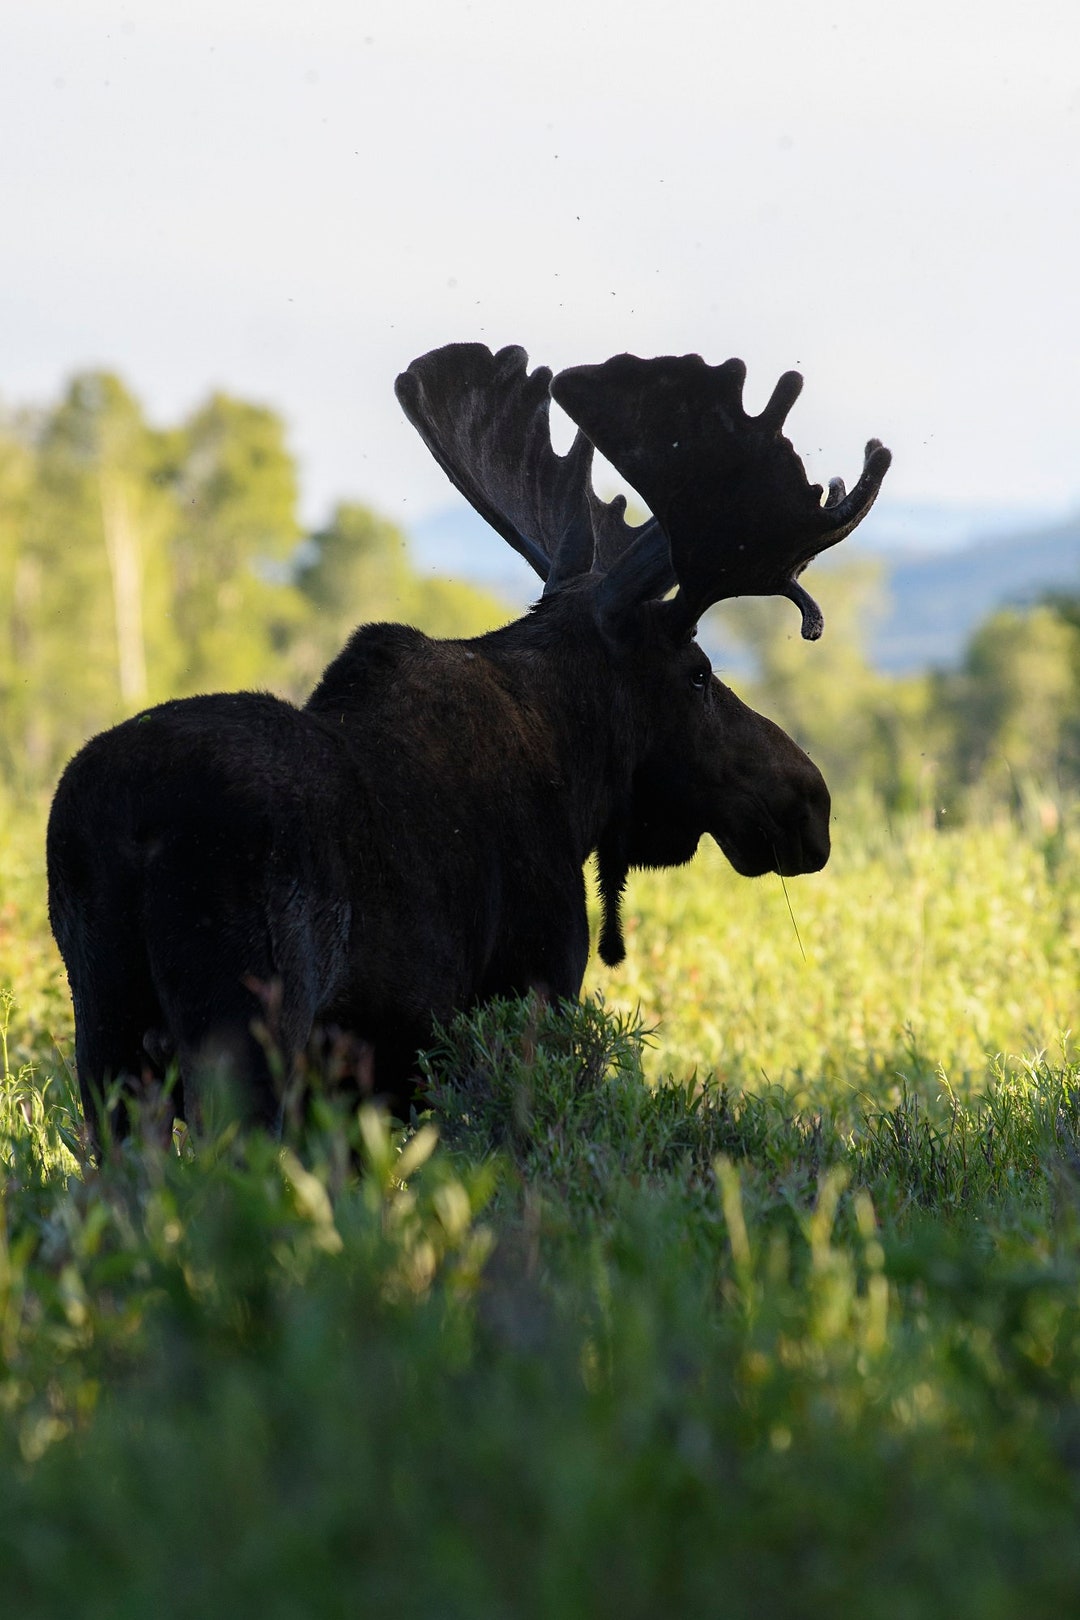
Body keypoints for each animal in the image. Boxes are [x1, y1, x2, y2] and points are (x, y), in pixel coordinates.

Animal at [46, 342, 891, 1147]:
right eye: (699, 674)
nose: (808, 799)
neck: (577, 785)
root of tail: (128, 826)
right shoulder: (529, 992)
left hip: (107, 1039)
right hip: (247, 1024)